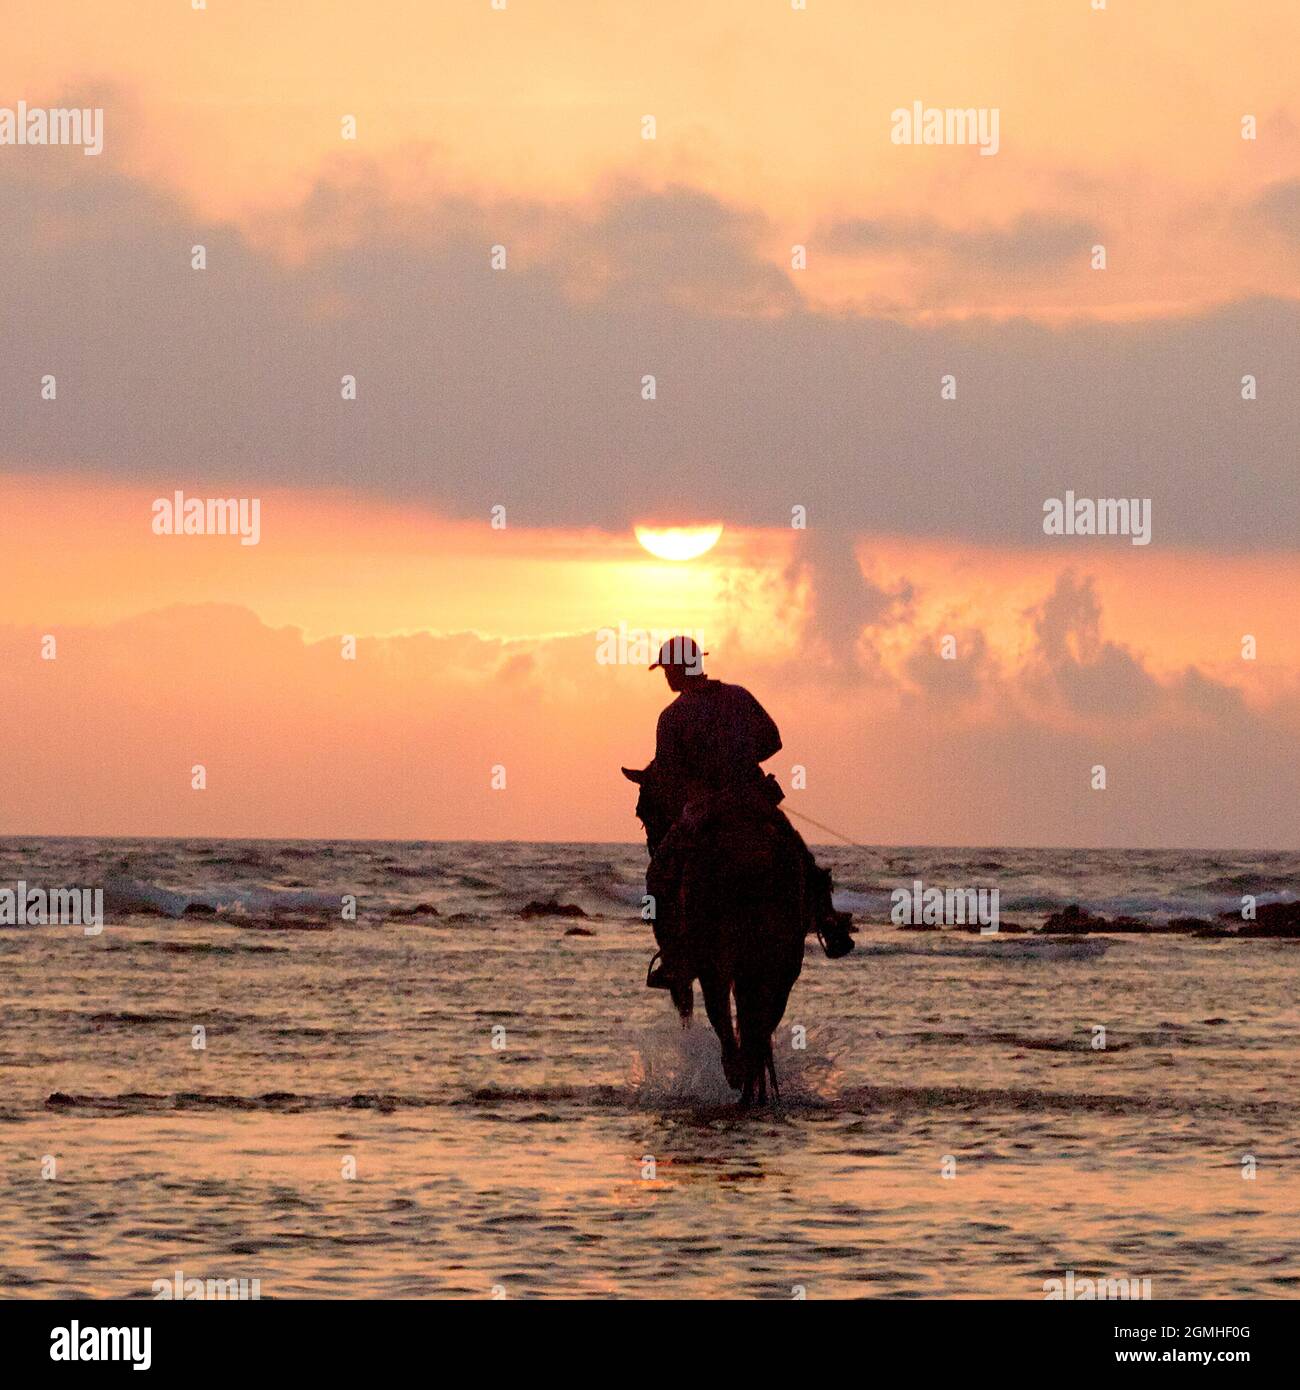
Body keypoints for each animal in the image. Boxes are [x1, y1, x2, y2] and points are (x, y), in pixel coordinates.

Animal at [623, 766, 810, 1106]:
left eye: (643, 810)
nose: (653, 844)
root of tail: (754, 852)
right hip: (780, 964)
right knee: (759, 1027)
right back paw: (755, 1092)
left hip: (715, 959)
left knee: (726, 1019)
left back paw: (735, 1074)